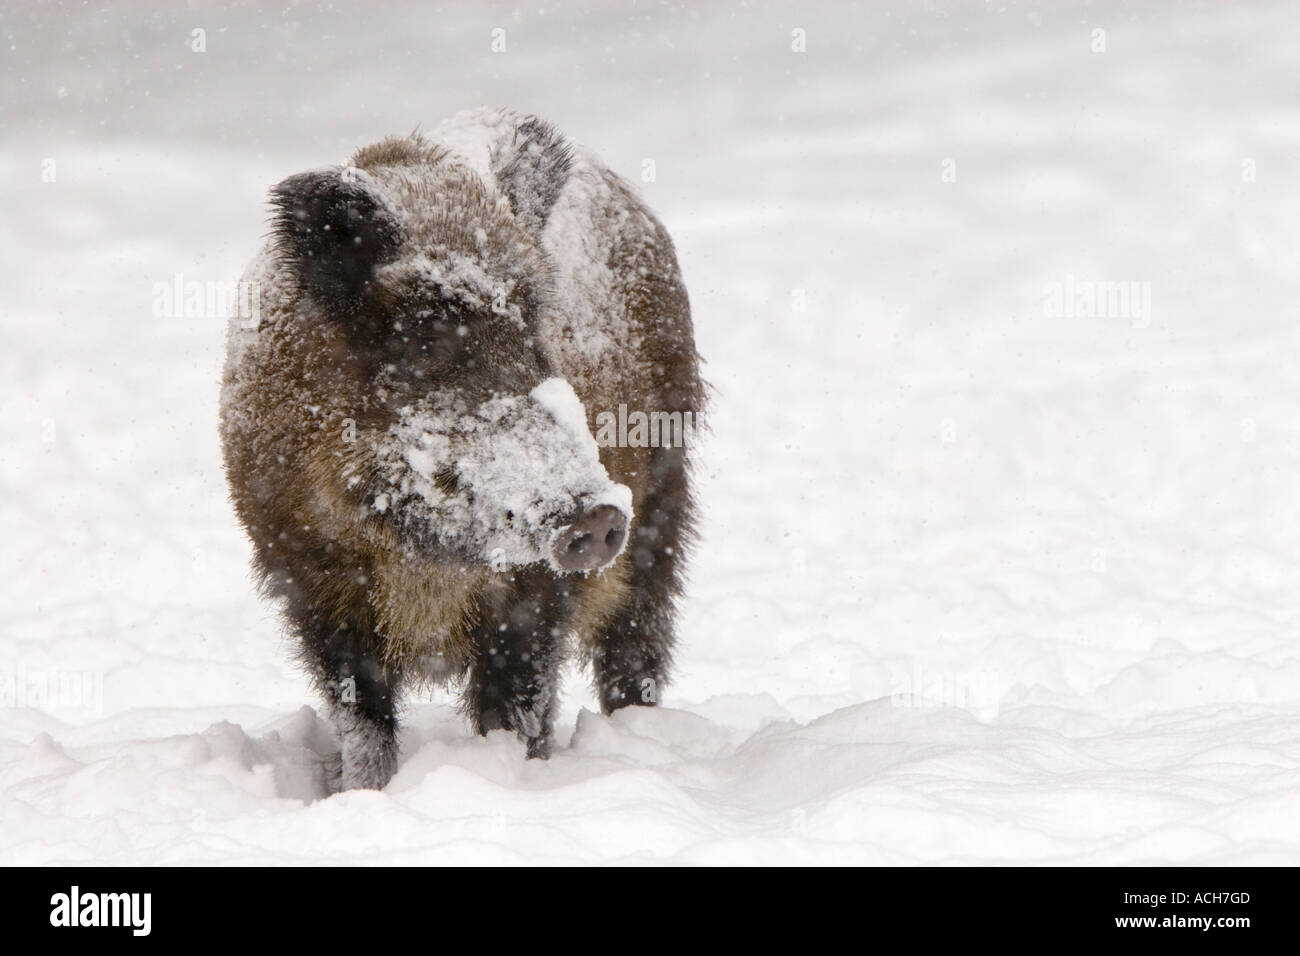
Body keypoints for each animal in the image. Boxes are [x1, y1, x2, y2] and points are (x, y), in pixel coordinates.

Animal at [219, 108, 703, 790]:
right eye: (427, 342)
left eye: (534, 328)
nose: (599, 514)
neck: (423, 554)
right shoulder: (308, 580)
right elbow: (362, 720)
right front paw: (362, 794)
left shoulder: (534, 596)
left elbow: (515, 708)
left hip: (666, 494)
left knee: (637, 639)